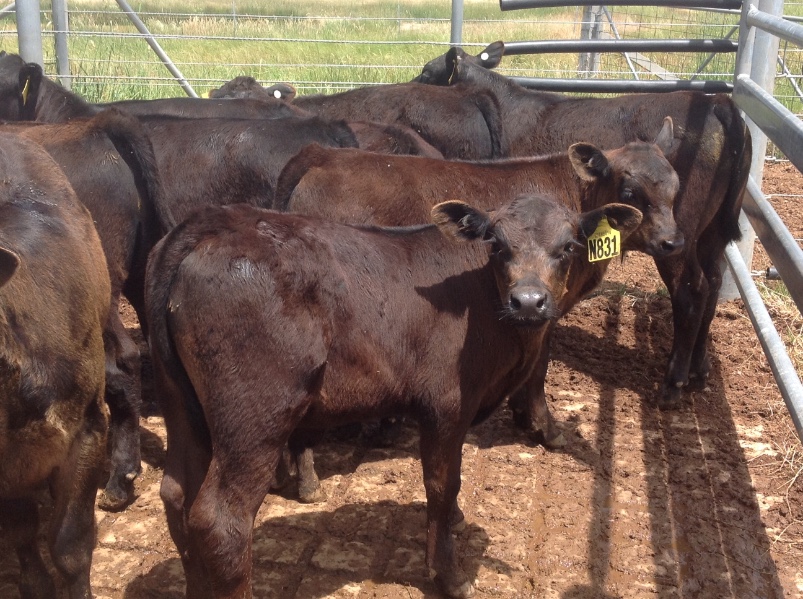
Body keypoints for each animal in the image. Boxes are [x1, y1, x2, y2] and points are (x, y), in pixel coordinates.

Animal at [145, 196, 642, 599]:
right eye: (498, 245)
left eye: (569, 246)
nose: (528, 301)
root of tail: (210, 223)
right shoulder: (446, 406)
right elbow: (442, 483)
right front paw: (449, 574)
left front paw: (457, 521)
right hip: (255, 417)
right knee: (220, 521)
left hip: (183, 408)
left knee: (176, 494)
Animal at [414, 41, 752, 412]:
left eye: (427, 72)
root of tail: (716, 100)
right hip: (712, 235)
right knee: (715, 281)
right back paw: (699, 370)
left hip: (679, 240)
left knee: (692, 290)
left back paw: (673, 383)